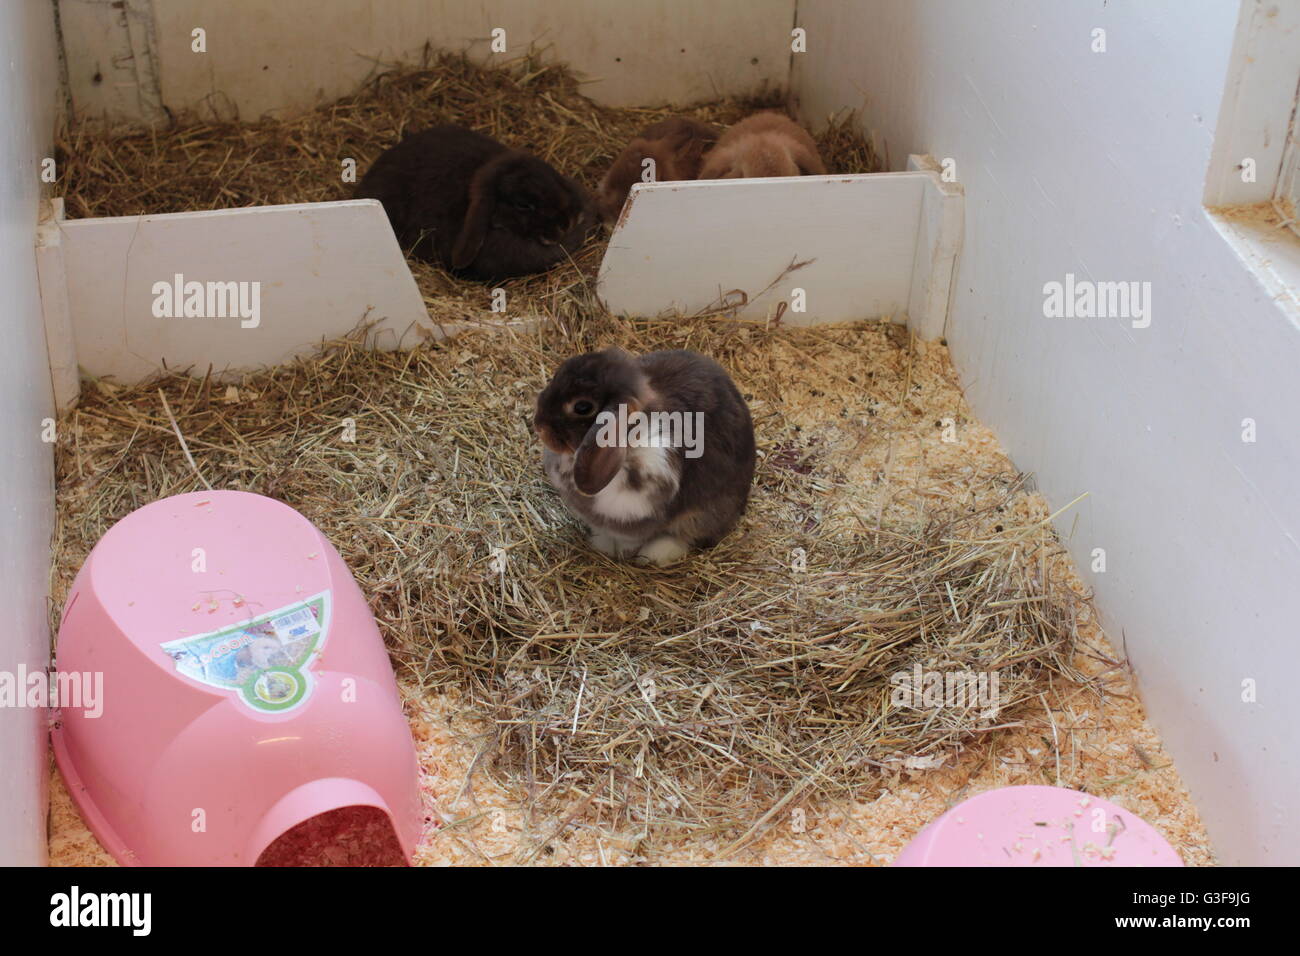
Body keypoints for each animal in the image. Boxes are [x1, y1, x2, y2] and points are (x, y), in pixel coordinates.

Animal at [534, 347, 756, 566]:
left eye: (582, 407)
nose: (539, 425)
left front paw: (623, 552)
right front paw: (603, 545)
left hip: (708, 513)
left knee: (688, 536)